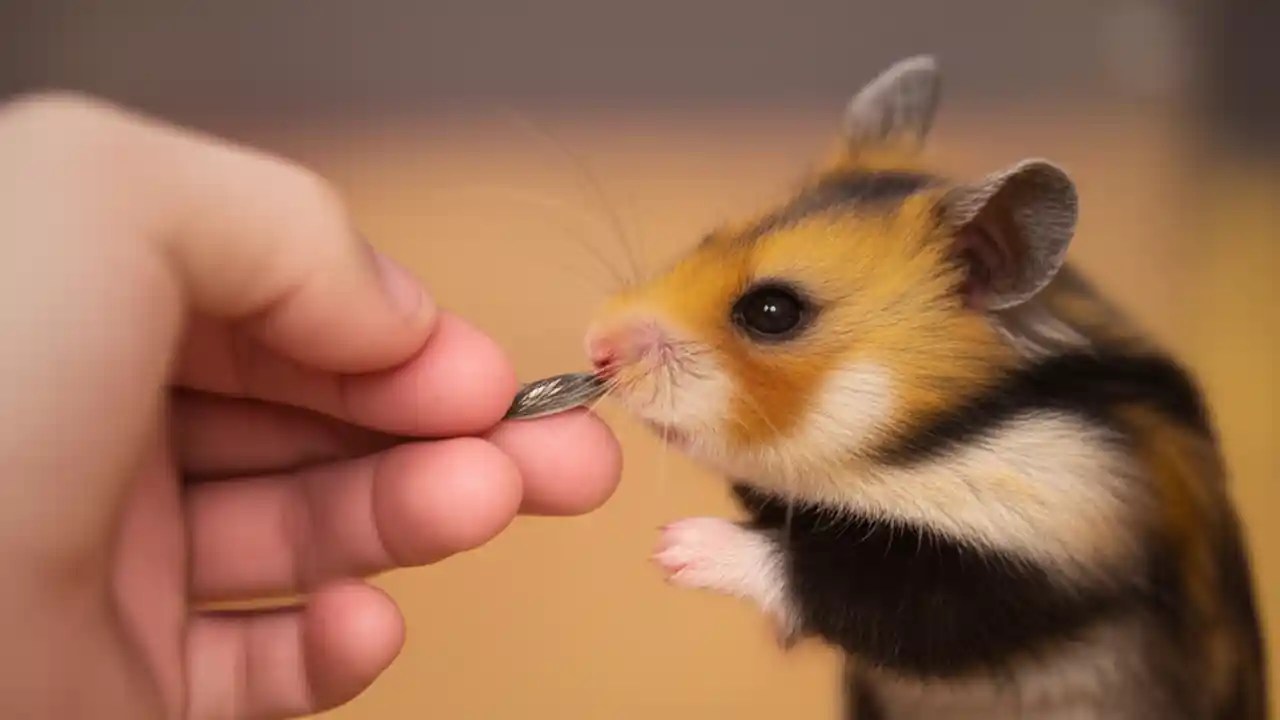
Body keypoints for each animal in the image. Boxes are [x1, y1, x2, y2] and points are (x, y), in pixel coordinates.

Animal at [583, 56, 1267, 719]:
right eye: (708, 238)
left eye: (772, 312)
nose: (596, 348)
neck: (914, 447)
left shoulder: (1054, 534)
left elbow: (847, 581)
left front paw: (677, 548)